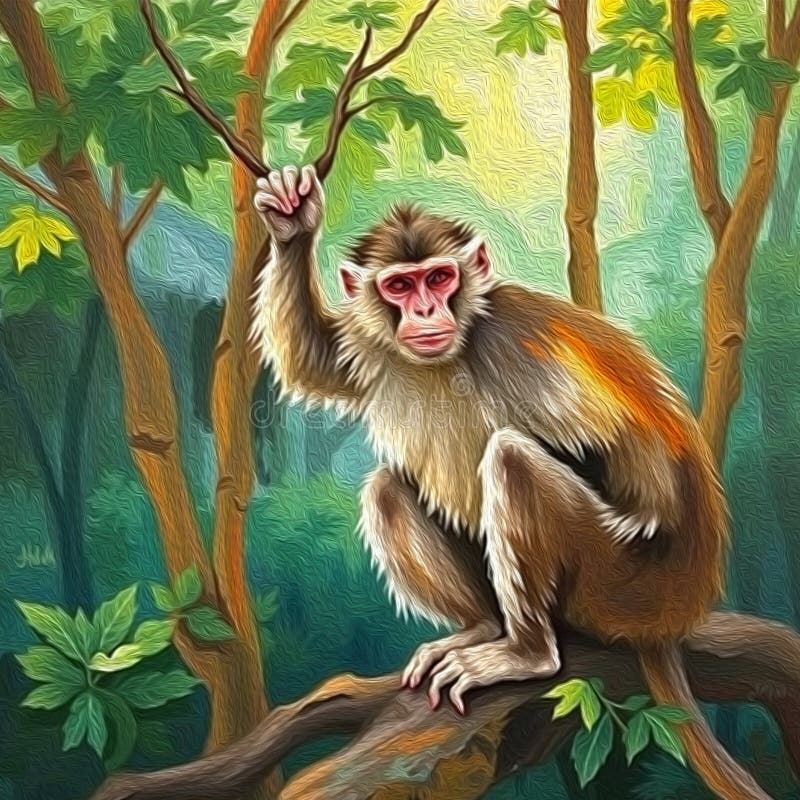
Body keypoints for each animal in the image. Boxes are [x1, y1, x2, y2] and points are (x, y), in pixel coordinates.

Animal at [252, 165, 748, 799]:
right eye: (400, 286)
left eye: (439, 277)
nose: (425, 312)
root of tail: (681, 604)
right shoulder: (373, 342)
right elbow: (316, 361)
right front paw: (292, 218)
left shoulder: (520, 344)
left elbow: (644, 462)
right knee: (387, 487)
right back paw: (481, 627)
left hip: (626, 587)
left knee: (513, 459)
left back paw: (529, 654)